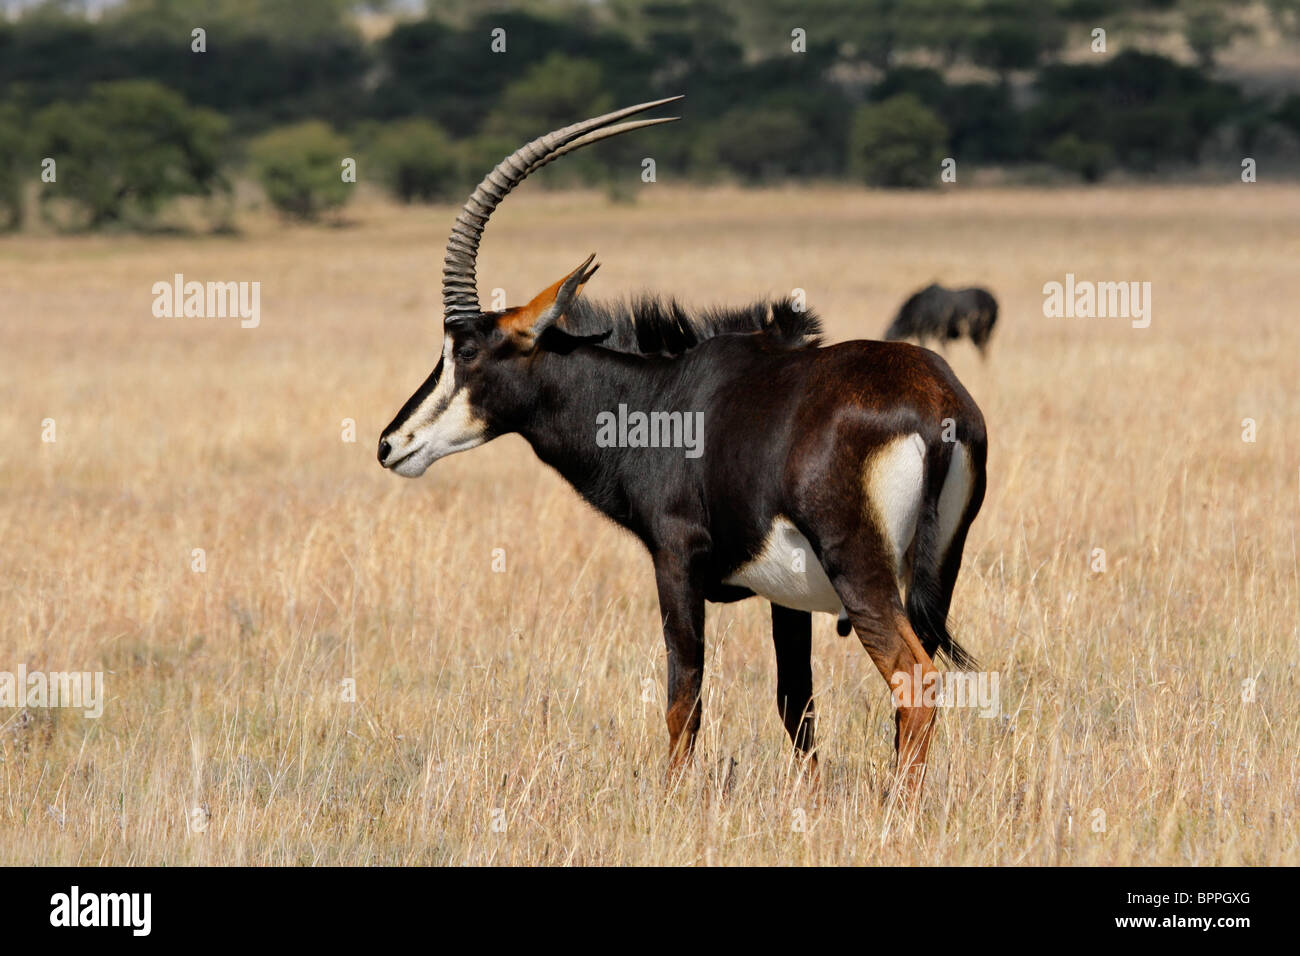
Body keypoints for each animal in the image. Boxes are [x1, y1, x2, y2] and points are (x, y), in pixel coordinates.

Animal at [377, 98, 988, 792]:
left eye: (467, 350)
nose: (392, 443)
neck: (658, 396)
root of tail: (937, 409)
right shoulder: (789, 598)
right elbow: (796, 705)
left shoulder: (675, 558)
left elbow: (683, 698)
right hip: (935, 571)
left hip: (859, 570)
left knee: (914, 680)